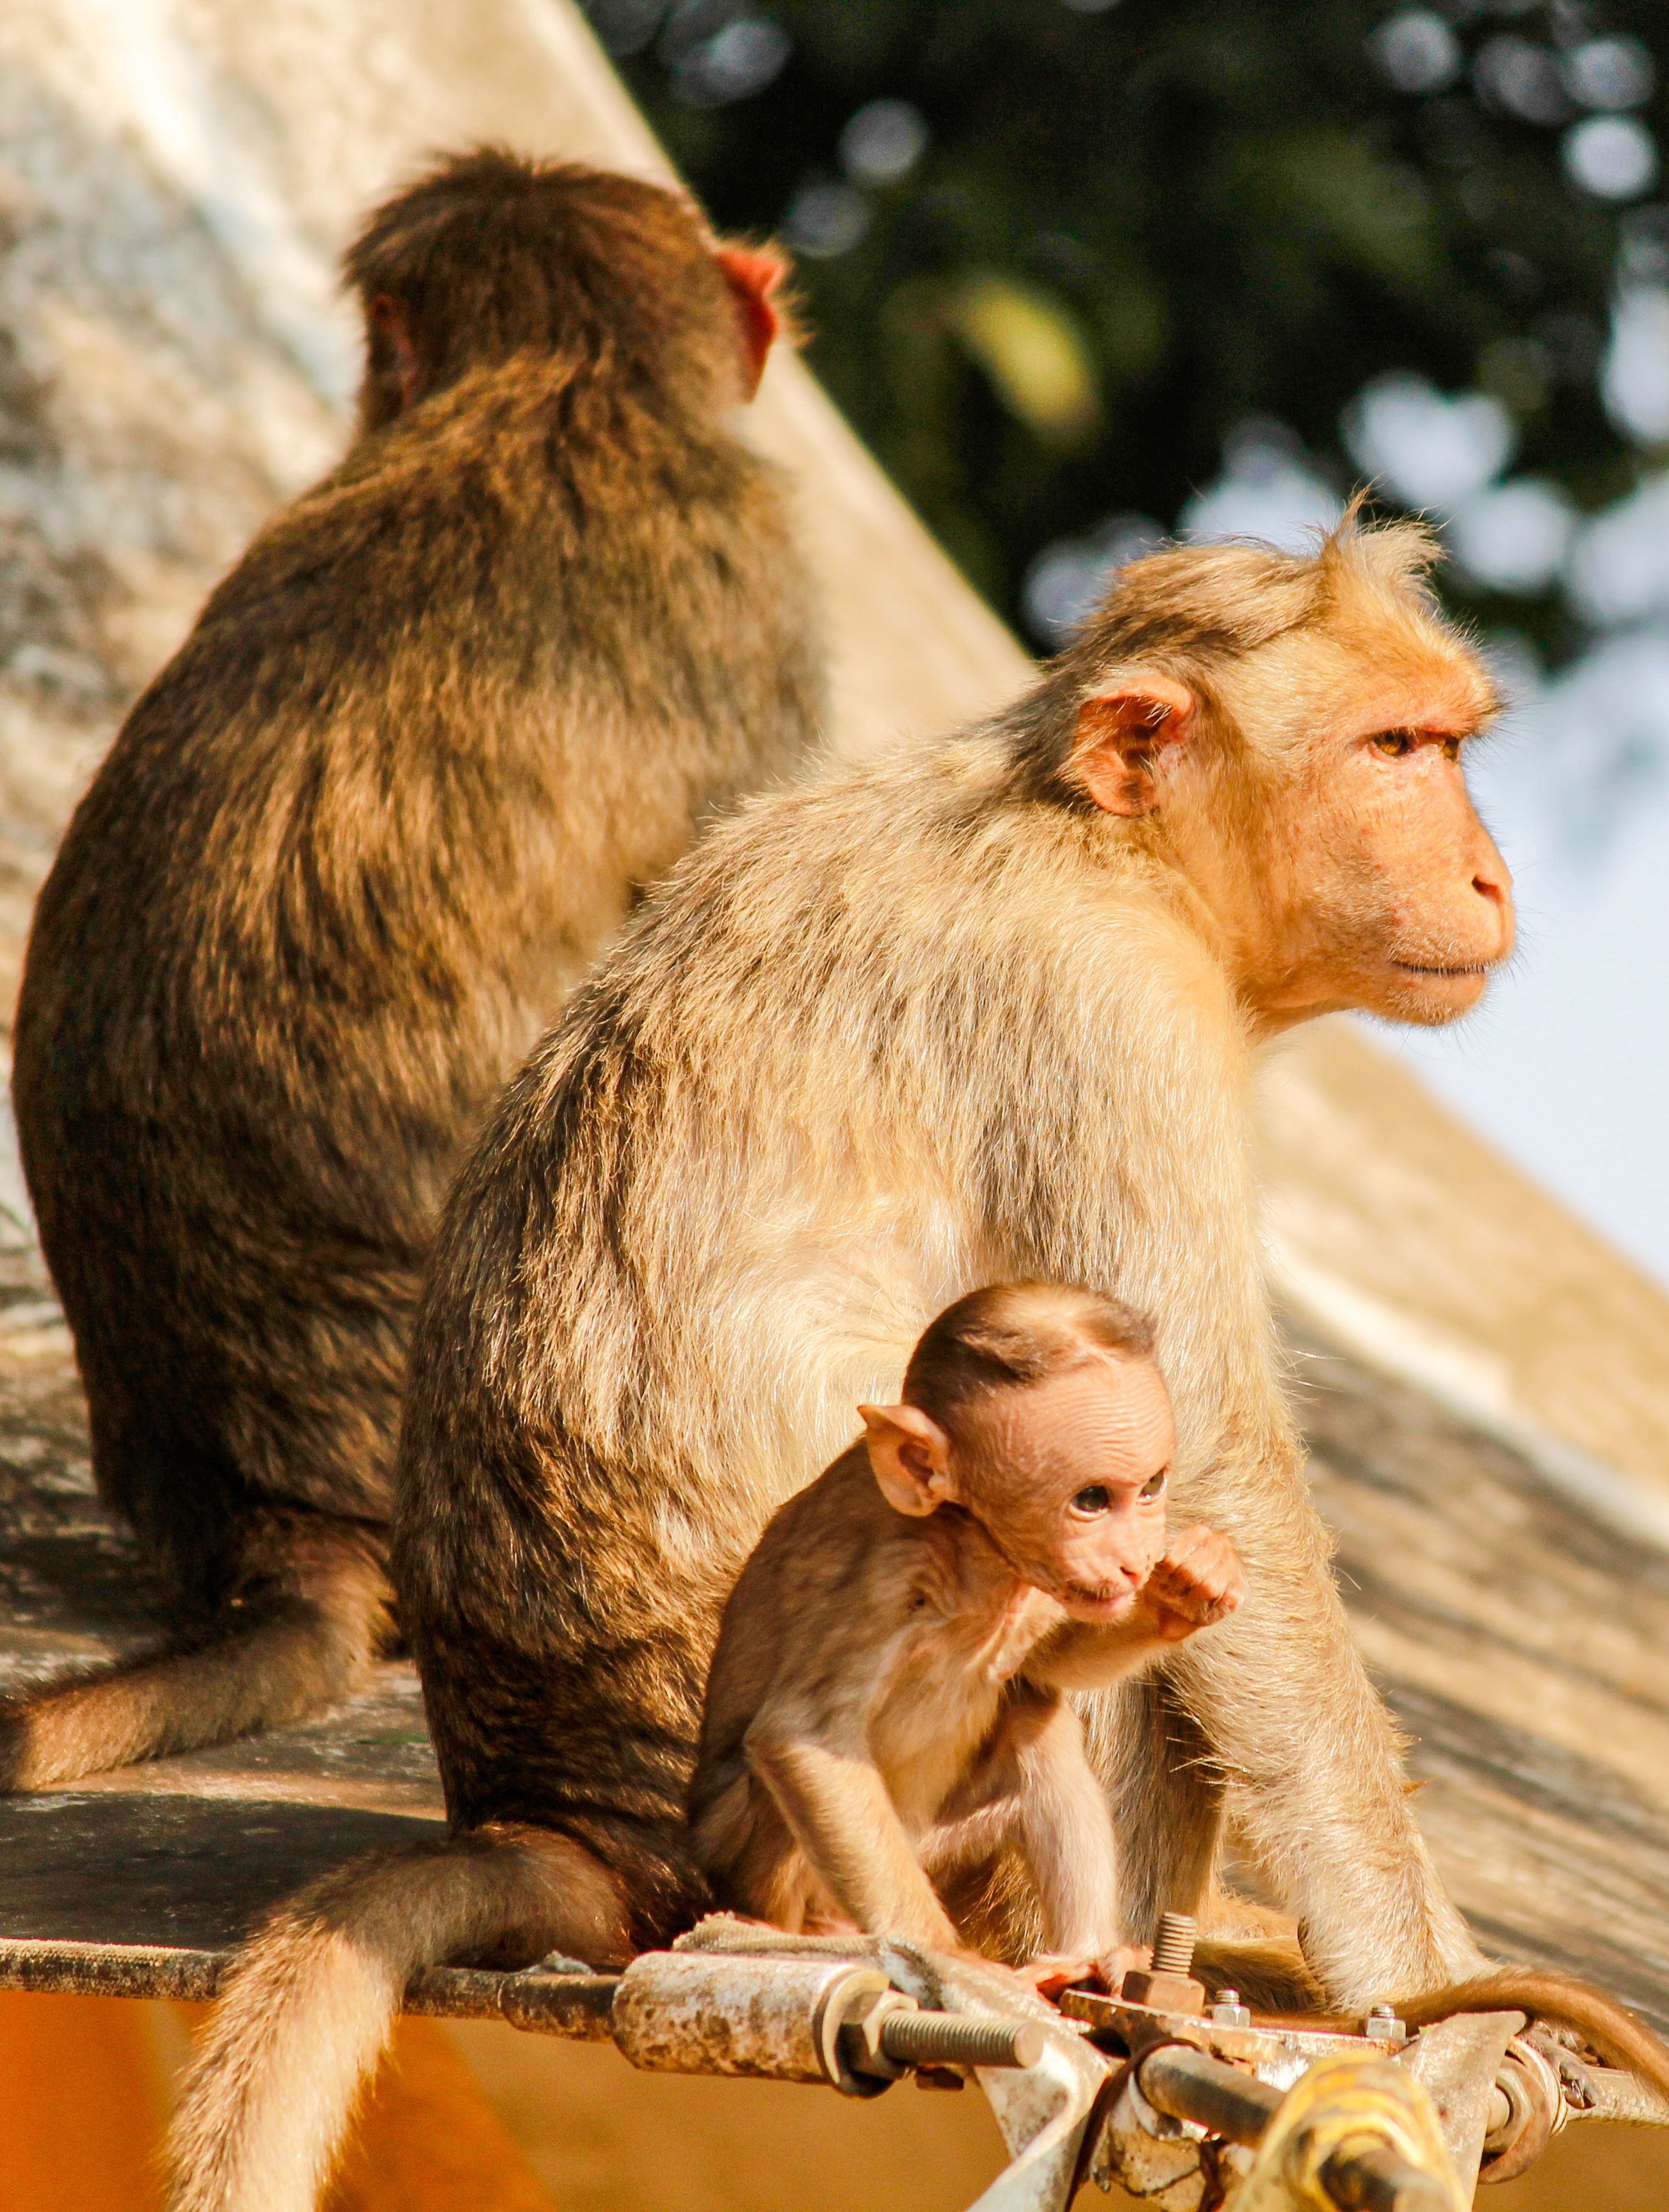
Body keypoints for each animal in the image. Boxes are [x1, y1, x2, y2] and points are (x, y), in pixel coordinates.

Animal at [691, 1281, 1246, 1996]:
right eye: (1092, 1499)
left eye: (1151, 1486)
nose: (1133, 1561)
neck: (973, 1546)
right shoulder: (874, 1576)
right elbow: (802, 1739)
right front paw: (943, 1954)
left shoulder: (1035, 1585)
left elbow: (1045, 1664)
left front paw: (1184, 1589)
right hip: (769, 1858)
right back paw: (801, 1933)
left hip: (936, 1847)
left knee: (1034, 1718)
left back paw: (1086, 1954)